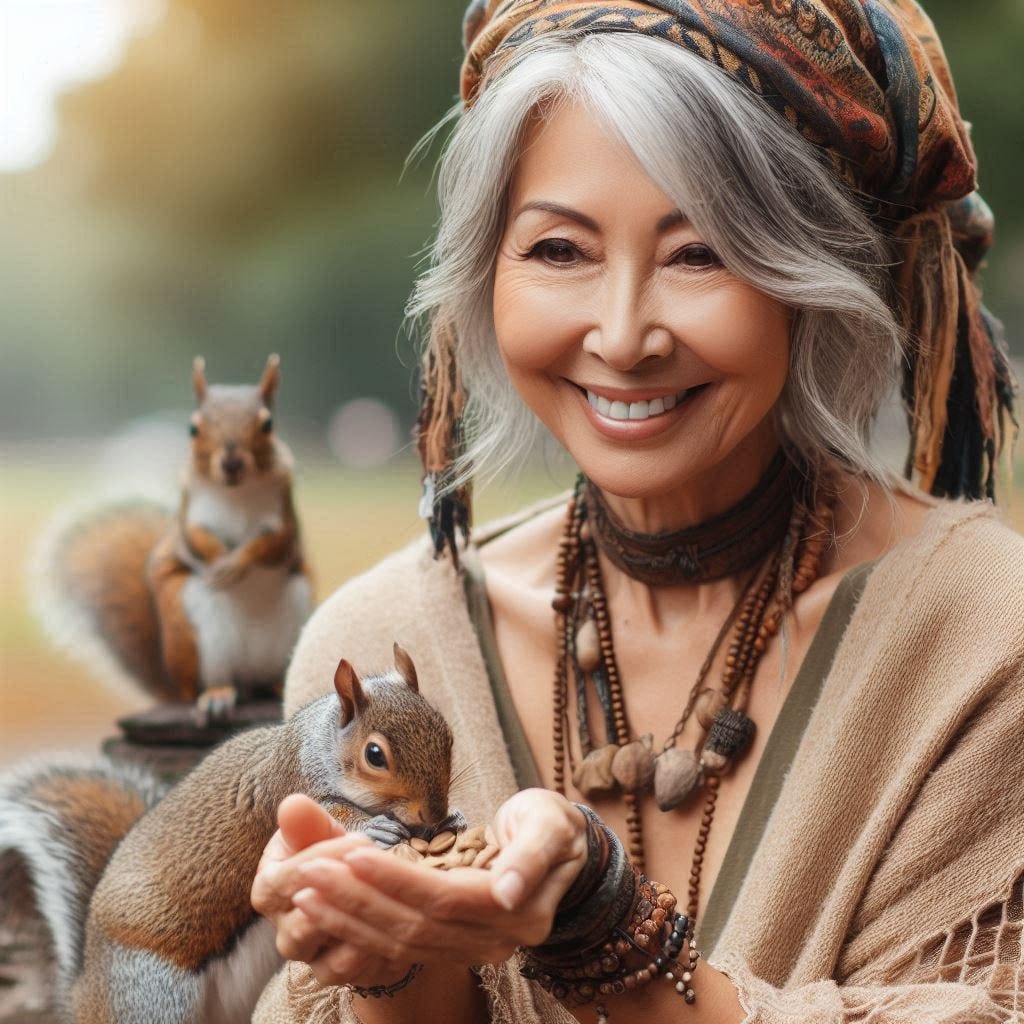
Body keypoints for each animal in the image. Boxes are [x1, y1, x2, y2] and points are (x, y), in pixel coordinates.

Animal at [0, 644, 460, 1024]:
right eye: (375, 755)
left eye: (448, 735)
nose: (433, 813)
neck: (321, 743)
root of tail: (84, 996)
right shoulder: (286, 789)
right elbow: (339, 813)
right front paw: (373, 826)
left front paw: (451, 821)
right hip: (151, 997)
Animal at [33, 353, 314, 723]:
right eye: (193, 428)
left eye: (268, 425)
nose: (232, 462)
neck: (236, 493)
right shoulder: (190, 515)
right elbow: (196, 539)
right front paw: (220, 563)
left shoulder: (284, 518)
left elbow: (274, 545)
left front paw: (237, 562)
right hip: (197, 630)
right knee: (212, 684)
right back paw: (217, 695)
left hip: (297, 612)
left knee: (268, 681)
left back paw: (279, 687)